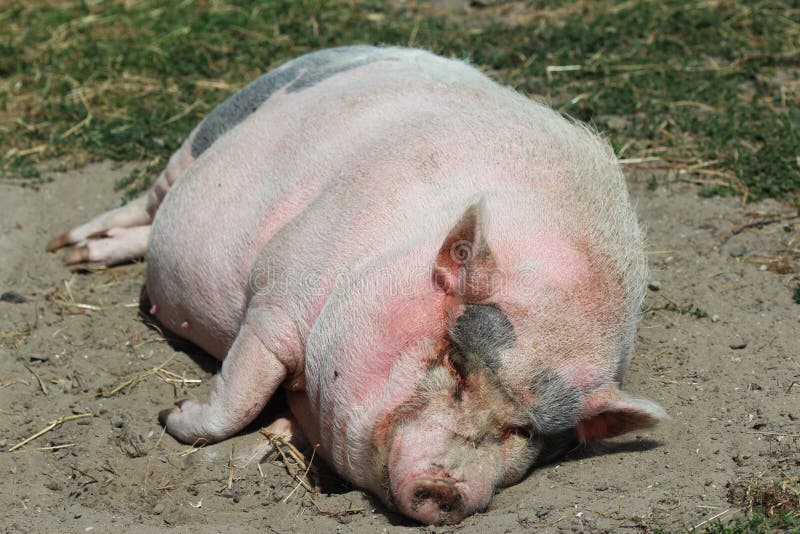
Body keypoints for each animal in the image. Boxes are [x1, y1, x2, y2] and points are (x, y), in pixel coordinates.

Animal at [47, 46, 666, 524]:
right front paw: (171, 414)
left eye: (528, 433)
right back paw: (68, 248)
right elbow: (240, 395)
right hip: (202, 138)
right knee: (146, 202)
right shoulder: (278, 294)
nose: (447, 488)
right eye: (456, 363)